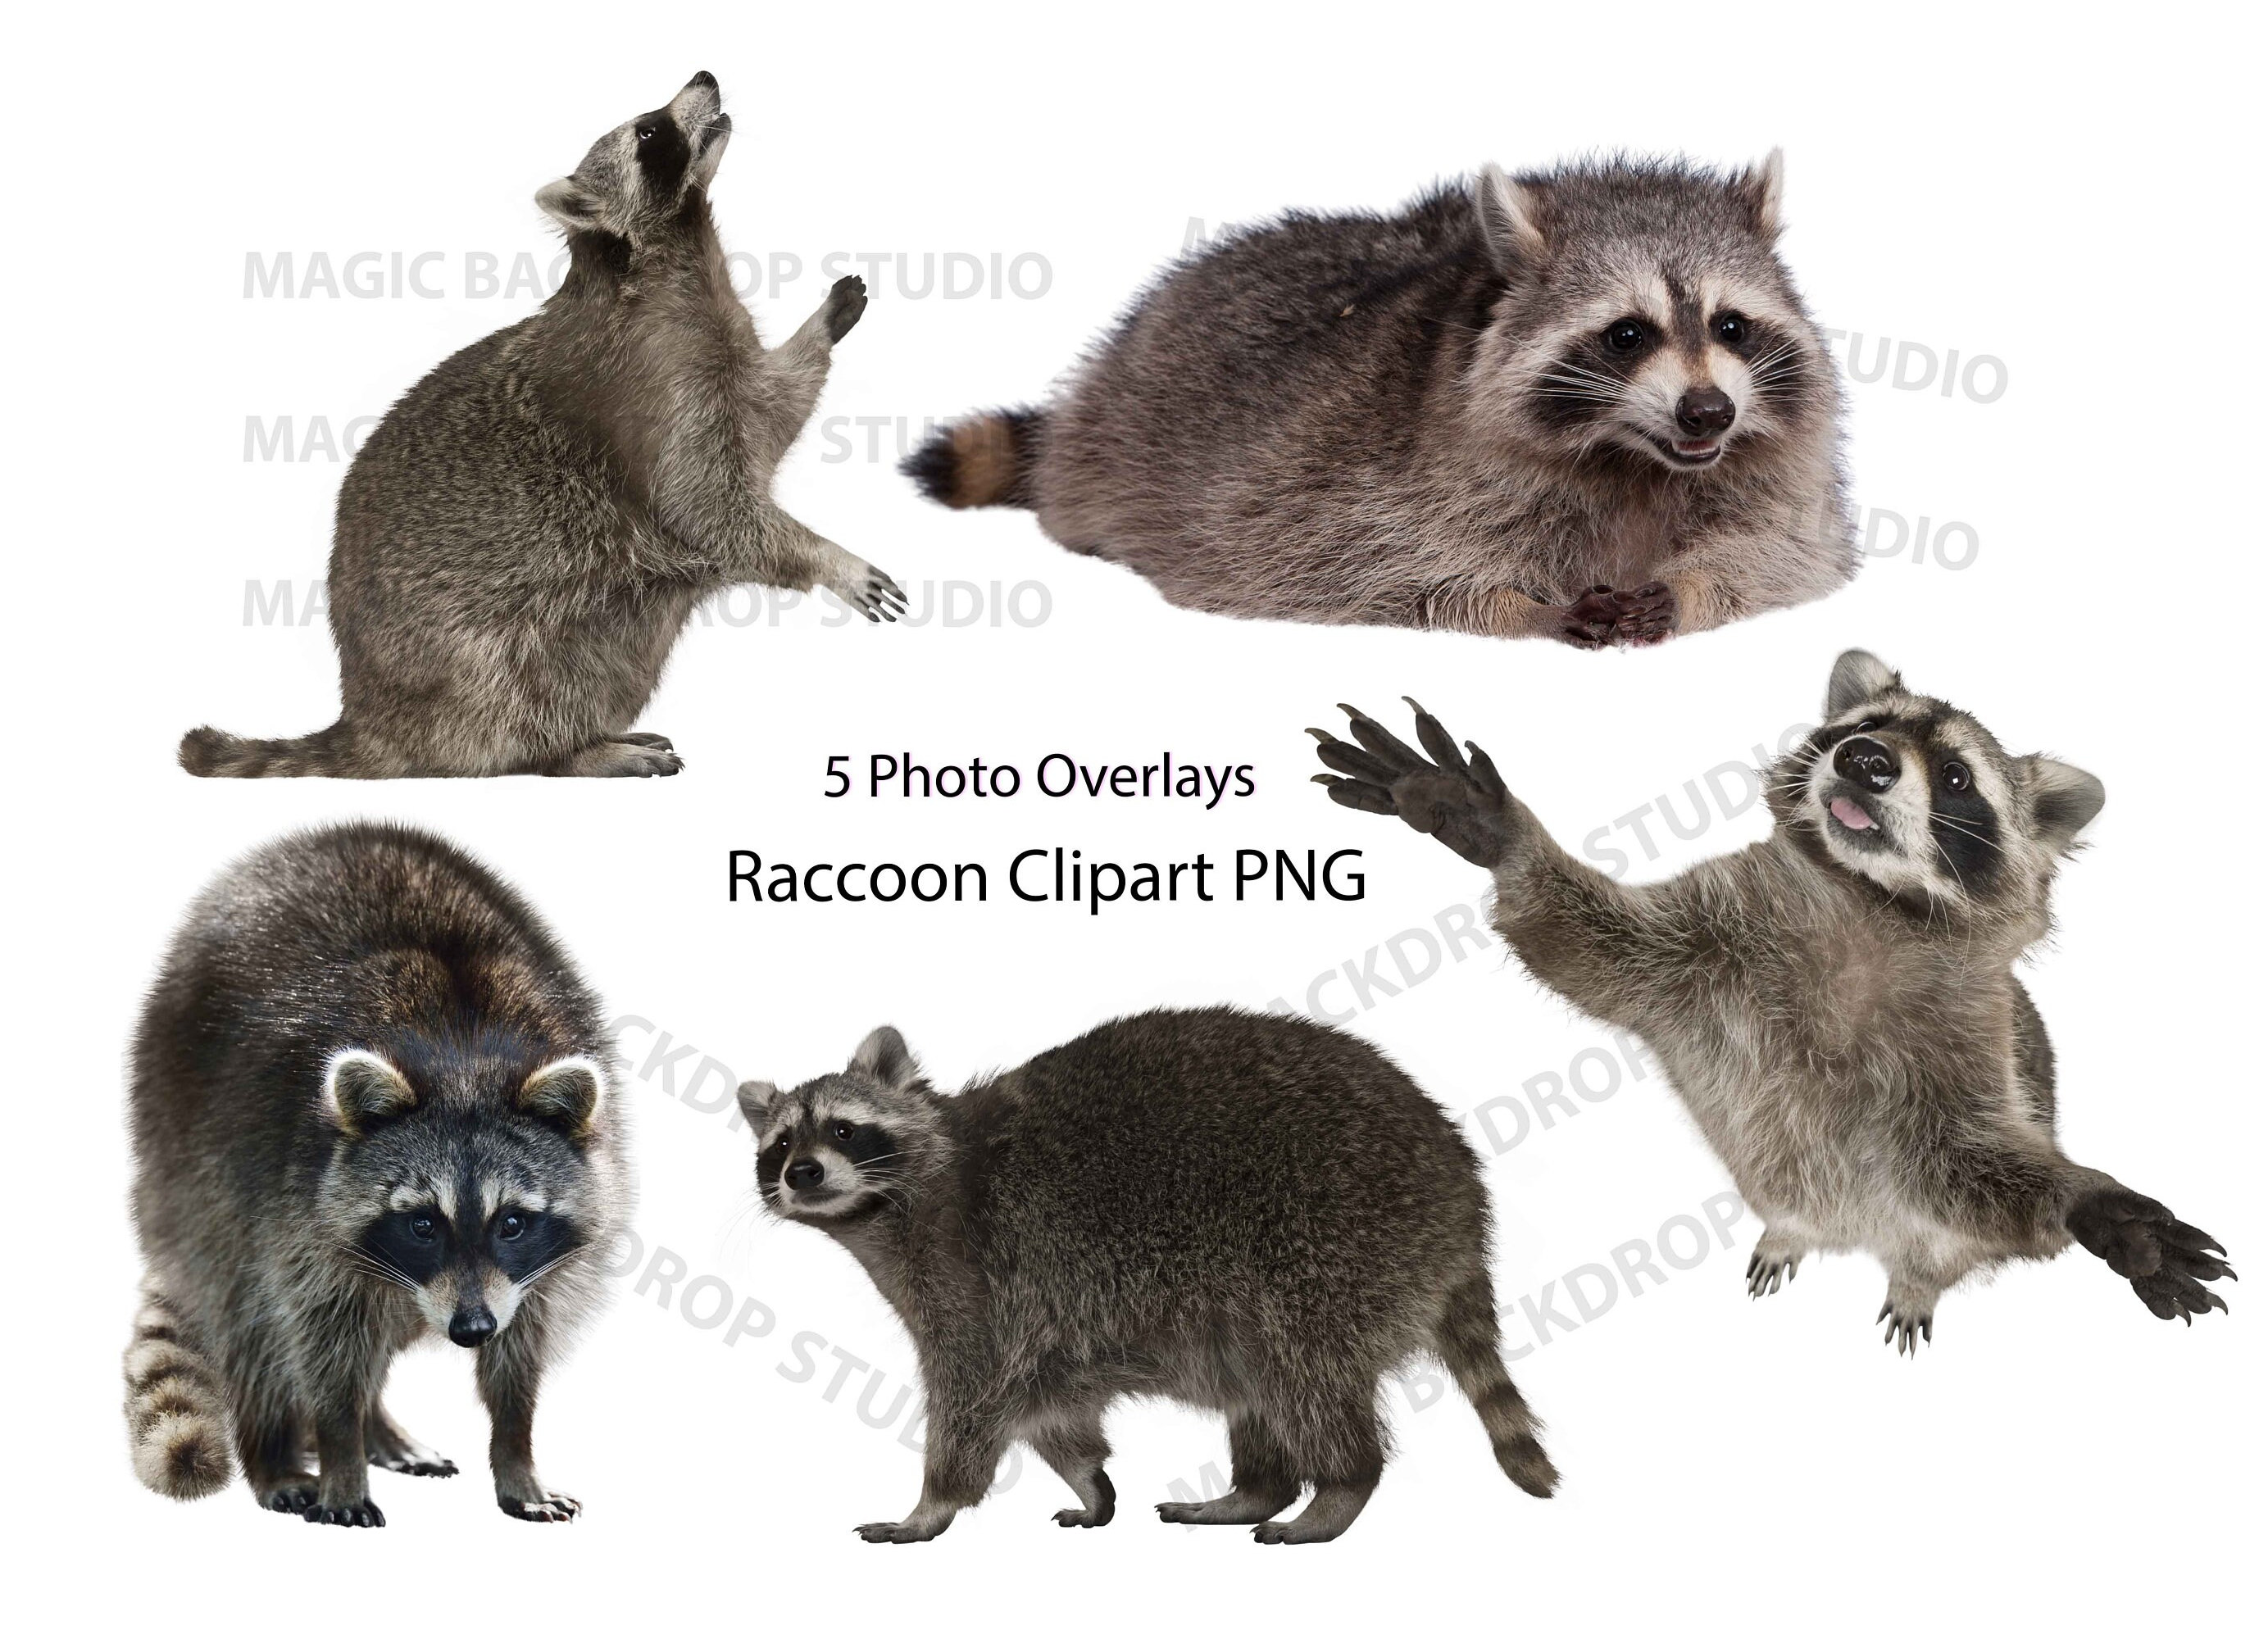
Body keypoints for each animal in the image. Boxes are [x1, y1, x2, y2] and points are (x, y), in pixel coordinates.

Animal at [124, 823, 629, 1523]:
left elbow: (520, 1350)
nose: (470, 1329)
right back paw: (275, 1452)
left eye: (512, 1223)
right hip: (188, 1146)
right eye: (422, 1224)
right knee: (251, 1316)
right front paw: (340, 1453)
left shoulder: (531, 1270)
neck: (462, 1057)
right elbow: (321, 1341)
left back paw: (377, 1428)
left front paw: (516, 1456)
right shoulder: (293, 1200)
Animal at [180, 72, 902, 779]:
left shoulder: (715, 349)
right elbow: (708, 506)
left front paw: (820, 328)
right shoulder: (654, 386)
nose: (705, 75)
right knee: (526, 690)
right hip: (476, 651)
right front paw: (828, 558)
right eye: (648, 132)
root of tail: (368, 718)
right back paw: (569, 751)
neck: (674, 257)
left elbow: (773, 409)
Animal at [734, 1009, 1556, 1544]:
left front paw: (931, 1505)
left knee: (1307, 1371)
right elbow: (1052, 1407)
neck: (887, 1212)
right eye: (779, 1147)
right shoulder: (1037, 1317)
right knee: (1260, 1381)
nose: (802, 1173)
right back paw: (1256, 1490)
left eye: (843, 1129)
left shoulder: (976, 1273)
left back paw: (1338, 1487)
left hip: (1337, 1241)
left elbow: (974, 1395)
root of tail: (1461, 1195)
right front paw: (1089, 1482)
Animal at [906, 154, 1850, 646]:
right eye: (1627, 335)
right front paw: (1521, 605)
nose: (1707, 413)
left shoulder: (1775, 466)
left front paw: (1689, 587)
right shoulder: (1362, 475)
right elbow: (1370, 572)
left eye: (1730, 326)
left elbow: (1786, 554)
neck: (1632, 456)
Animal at [1310, 658, 2233, 1349]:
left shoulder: (1969, 1042)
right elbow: (1594, 946)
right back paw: (1791, 1229)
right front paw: (1494, 829)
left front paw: (2092, 1202)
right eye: (1867, 723)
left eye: (1957, 776)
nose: (1864, 759)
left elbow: (1970, 1163)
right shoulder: (1706, 944)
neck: (1863, 901)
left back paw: (1915, 1279)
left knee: (1944, 1239)